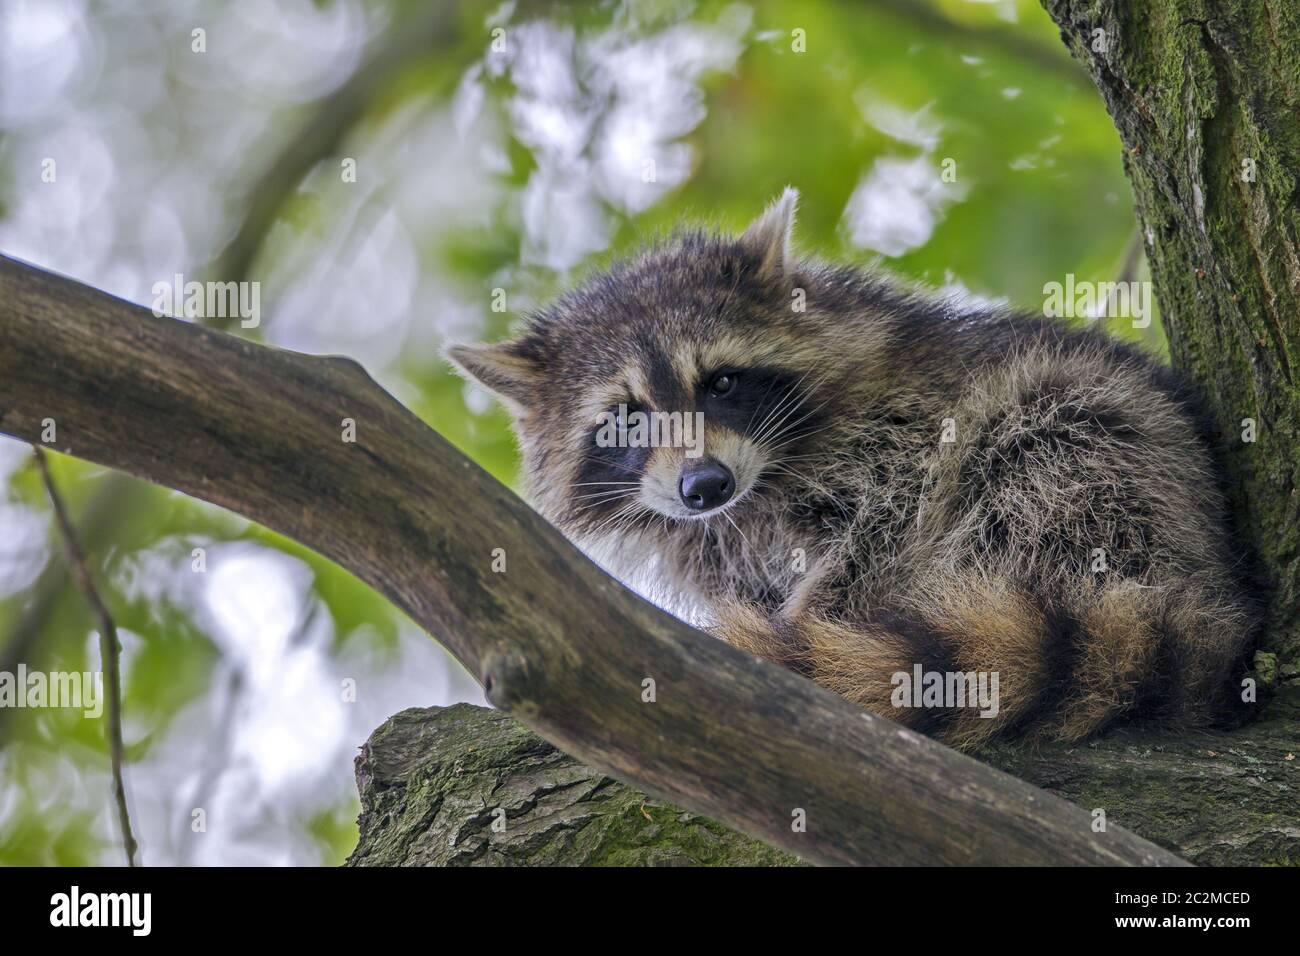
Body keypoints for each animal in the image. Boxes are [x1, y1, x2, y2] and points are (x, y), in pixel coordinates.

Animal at [448, 188, 1256, 749]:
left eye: (721, 383)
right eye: (628, 418)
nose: (705, 486)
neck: (759, 487)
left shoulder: (903, 419)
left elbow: (891, 520)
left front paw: (811, 622)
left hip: (1111, 445)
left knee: (1031, 475)